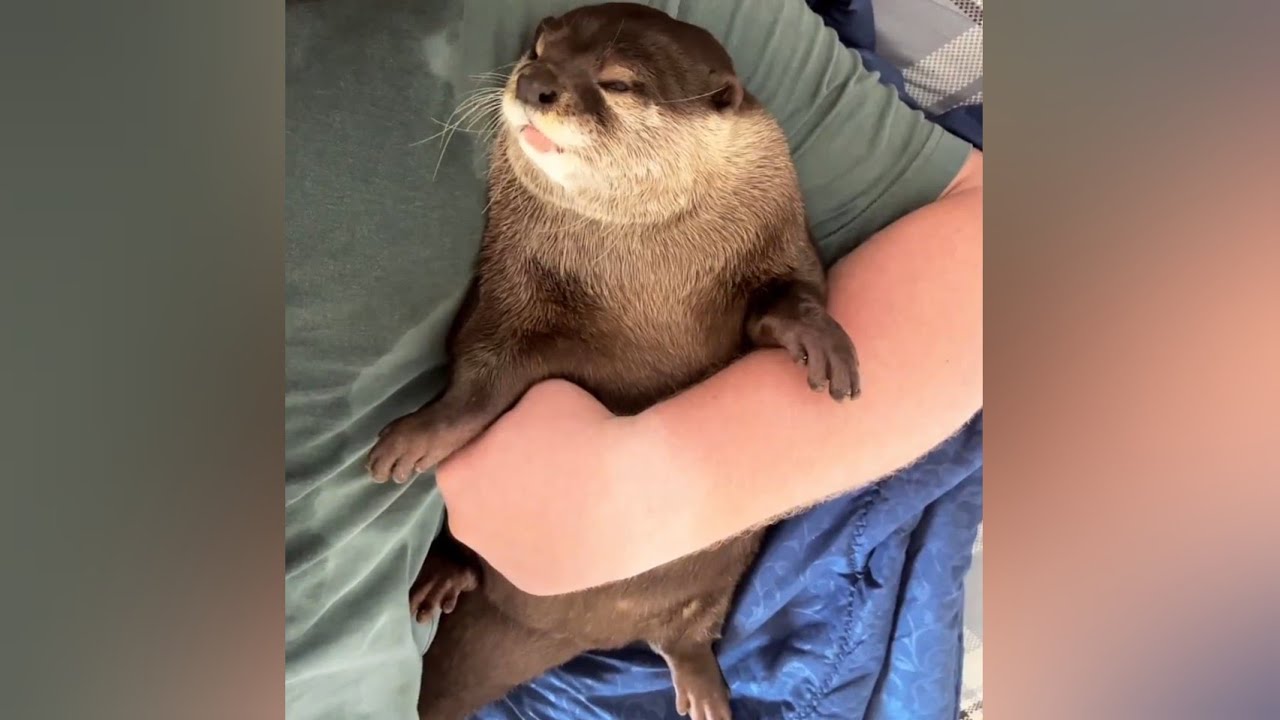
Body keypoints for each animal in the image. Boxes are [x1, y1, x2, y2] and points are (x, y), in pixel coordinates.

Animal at [368, 4, 859, 719]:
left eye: (618, 82)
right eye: (540, 47)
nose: (535, 82)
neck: (646, 259)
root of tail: (569, 630)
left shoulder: (781, 236)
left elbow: (793, 296)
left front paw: (822, 340)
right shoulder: (512, 288)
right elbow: (479, 378)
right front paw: (412, 440)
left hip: (716, 583)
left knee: (684, 634)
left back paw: (702, 686)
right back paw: (442, 574)